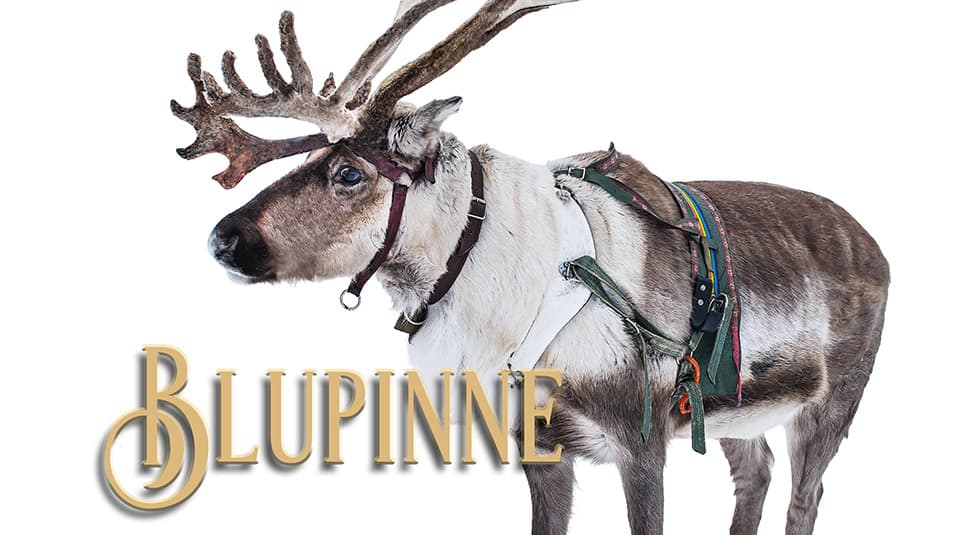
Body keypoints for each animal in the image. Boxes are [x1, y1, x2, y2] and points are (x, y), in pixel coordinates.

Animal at [170, 2, 890, 534]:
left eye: (349, 172)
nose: (222, 239)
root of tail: (874, 243)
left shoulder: (641, 441)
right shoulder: (538, 446)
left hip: (833, 399)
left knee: (804, 495)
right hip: (732, 408)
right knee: (755, 473)